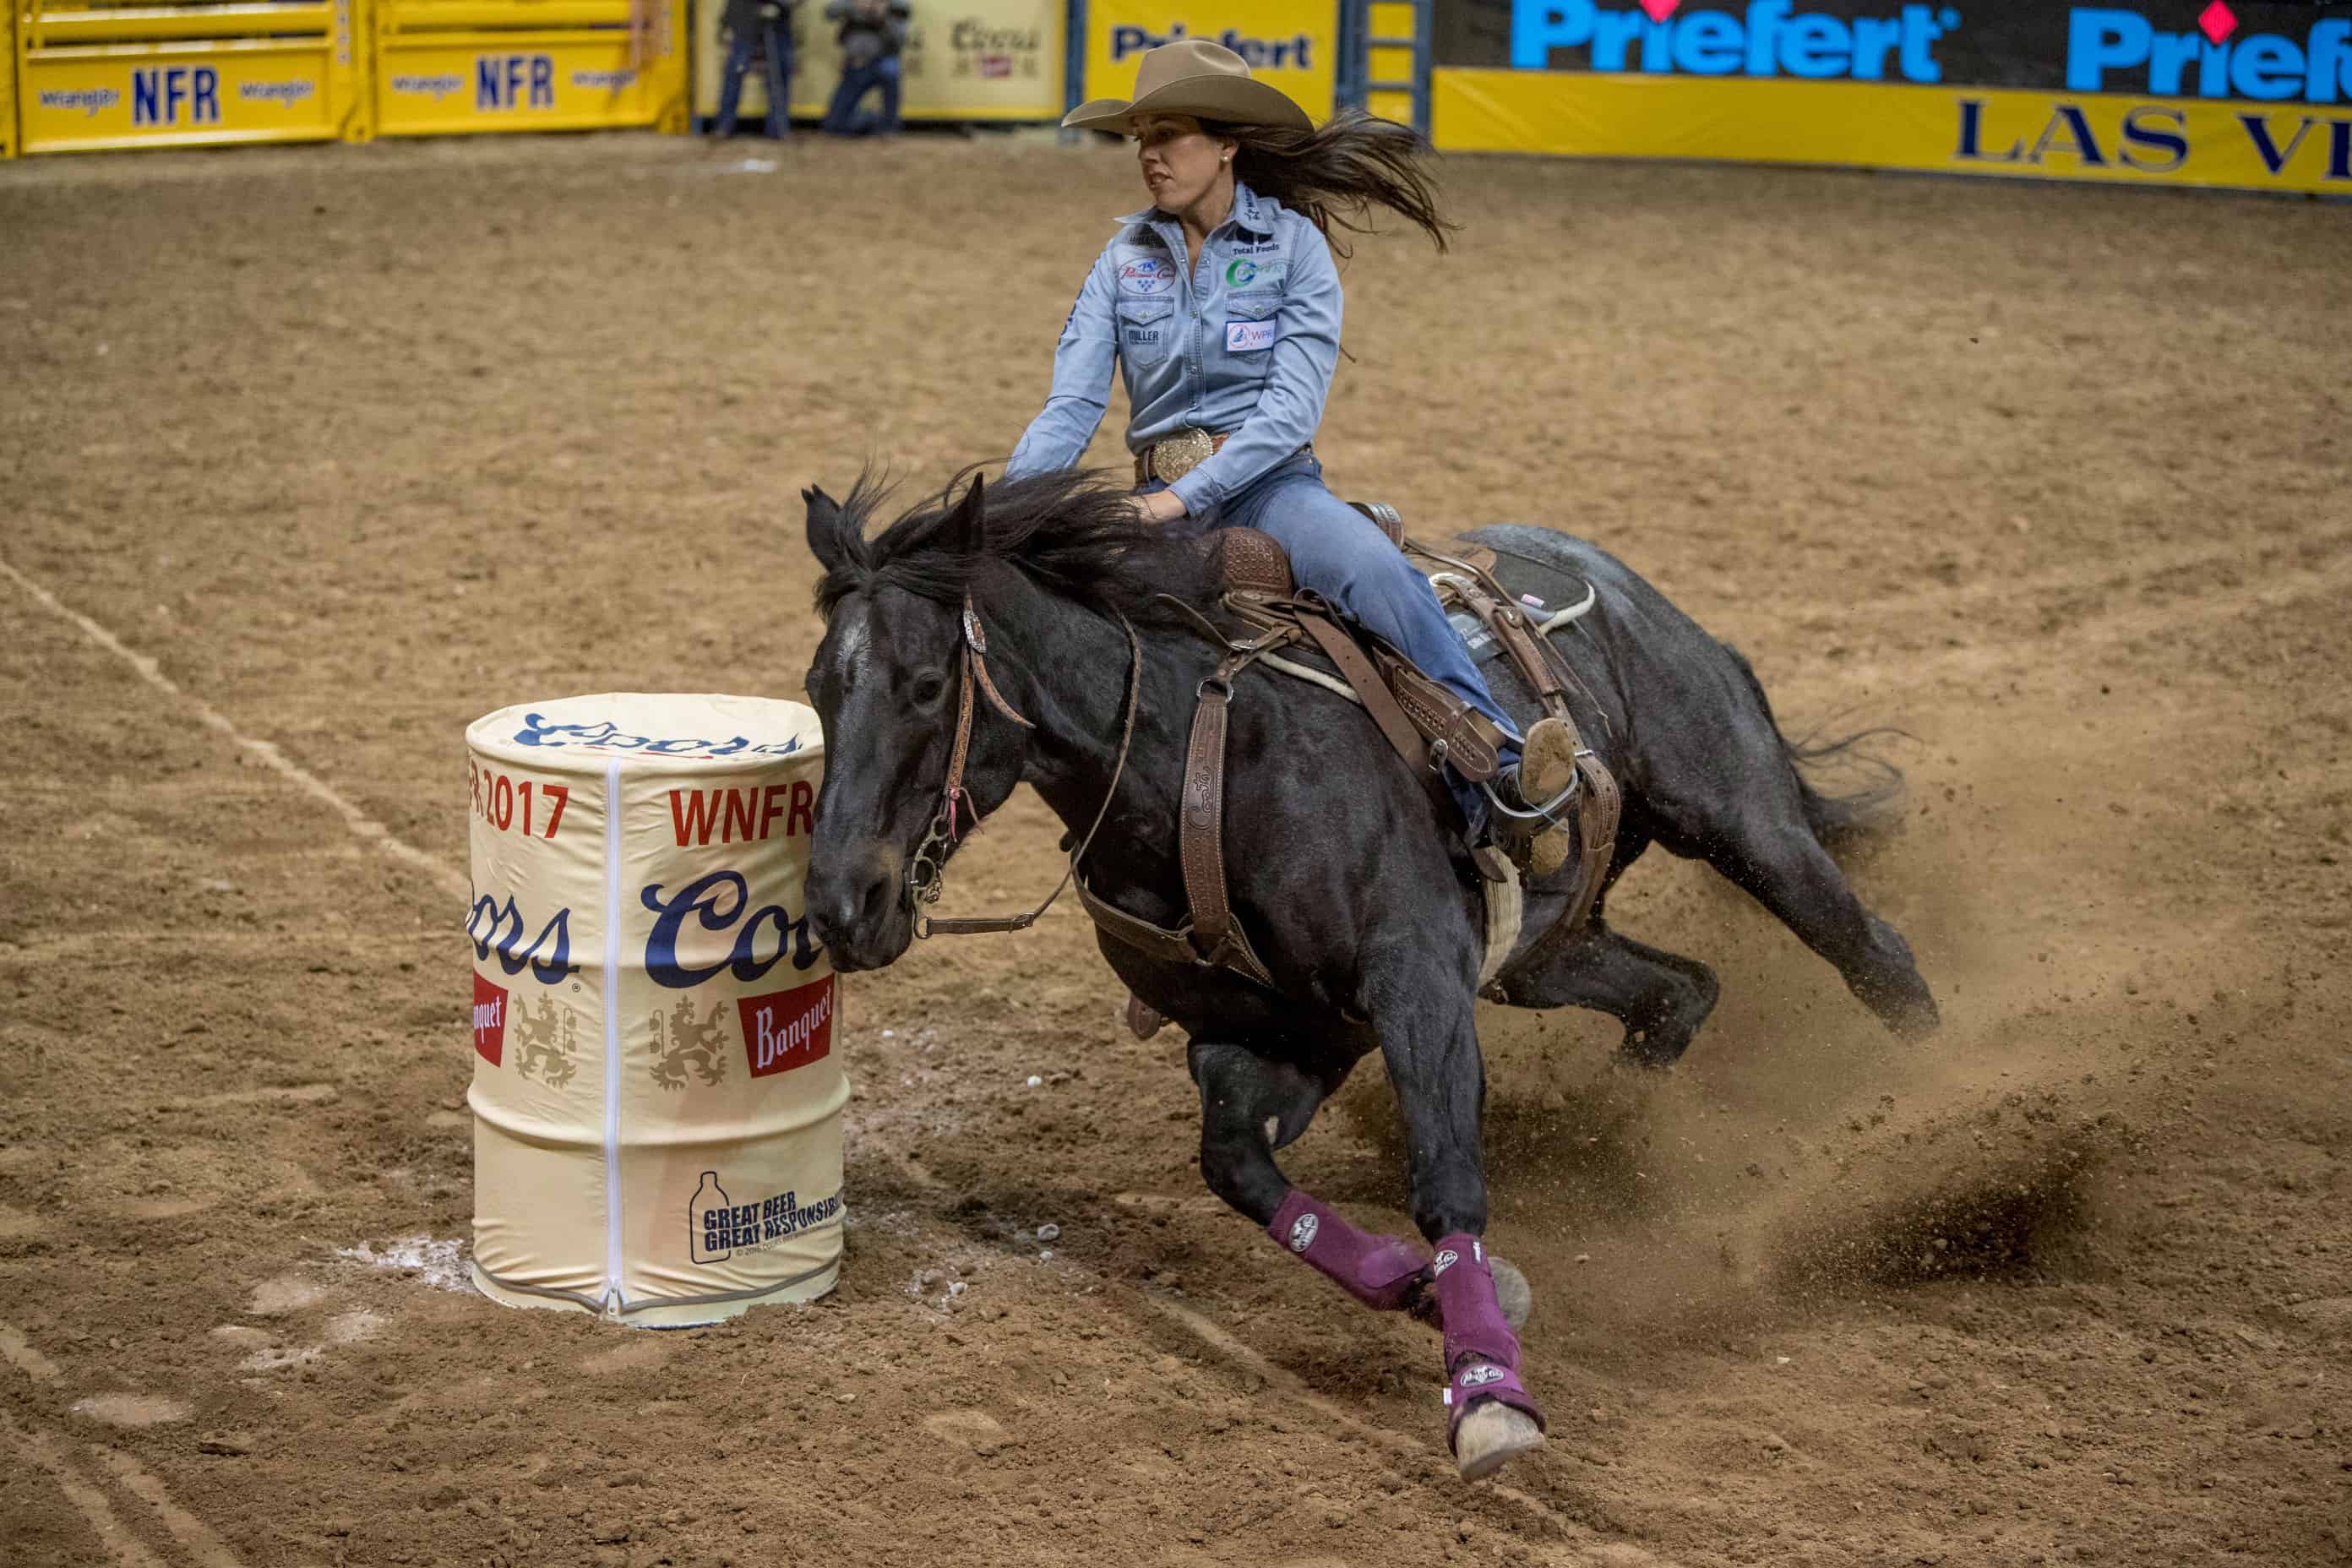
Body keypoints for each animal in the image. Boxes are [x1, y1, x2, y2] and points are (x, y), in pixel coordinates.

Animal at [796, 467, 1938, 1481]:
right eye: (816, 688)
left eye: (926, 685)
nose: (842, 903)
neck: (1190, 759)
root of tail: (1624, 585)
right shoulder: (1286, 1034)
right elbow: (1238, 1168)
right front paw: (1425, 1290)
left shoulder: (1416, 981)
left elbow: (1445, 1178)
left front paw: (1486, 1392)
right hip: (1547, 950)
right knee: (1678, 993)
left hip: (1746, 824)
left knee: (1877, 957)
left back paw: (1940, 1122)